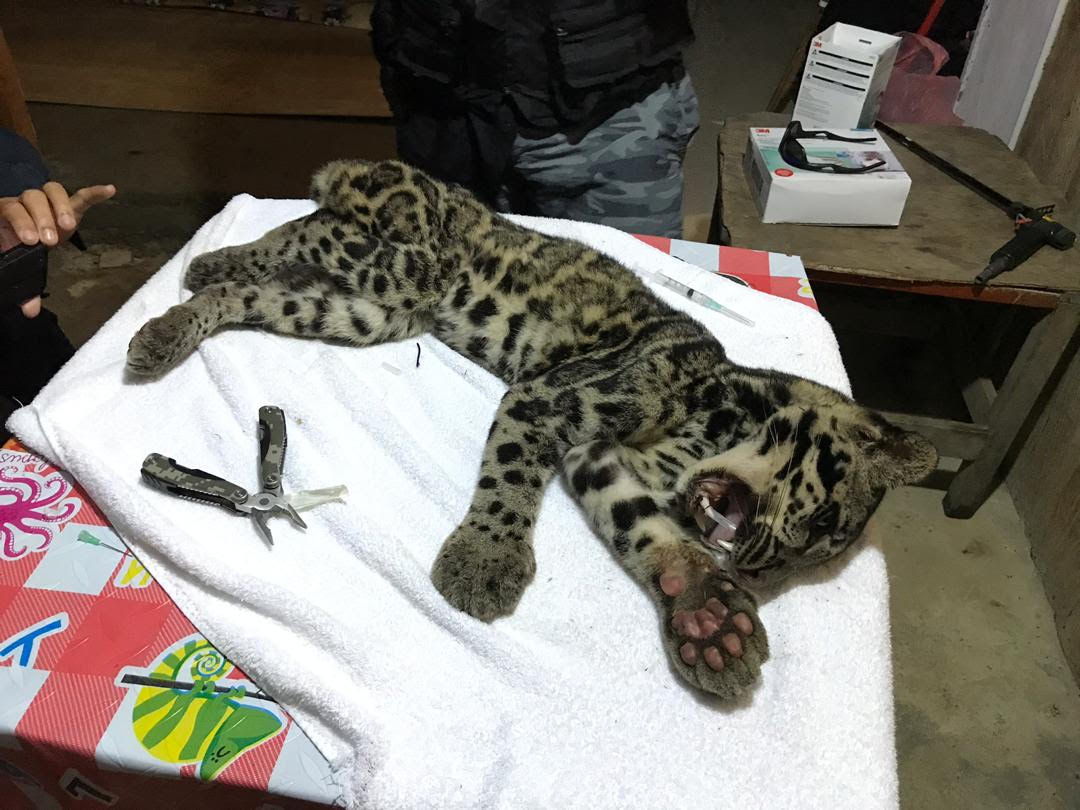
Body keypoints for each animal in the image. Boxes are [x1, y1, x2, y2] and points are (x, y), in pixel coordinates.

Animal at [126, 159, 937, 700]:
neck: (706, 423)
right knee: (300, 228)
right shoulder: (550, 400)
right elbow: (509, 482)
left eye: (816, 557)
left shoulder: (594, 458)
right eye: (824, 527)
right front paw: (485, 560)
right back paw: (207, 265)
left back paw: (186, 306)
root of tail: (387, 167)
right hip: (395, 264)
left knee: (262, 286)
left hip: (372, 312)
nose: (765, 574)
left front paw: (706, 618)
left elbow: (644, 530)